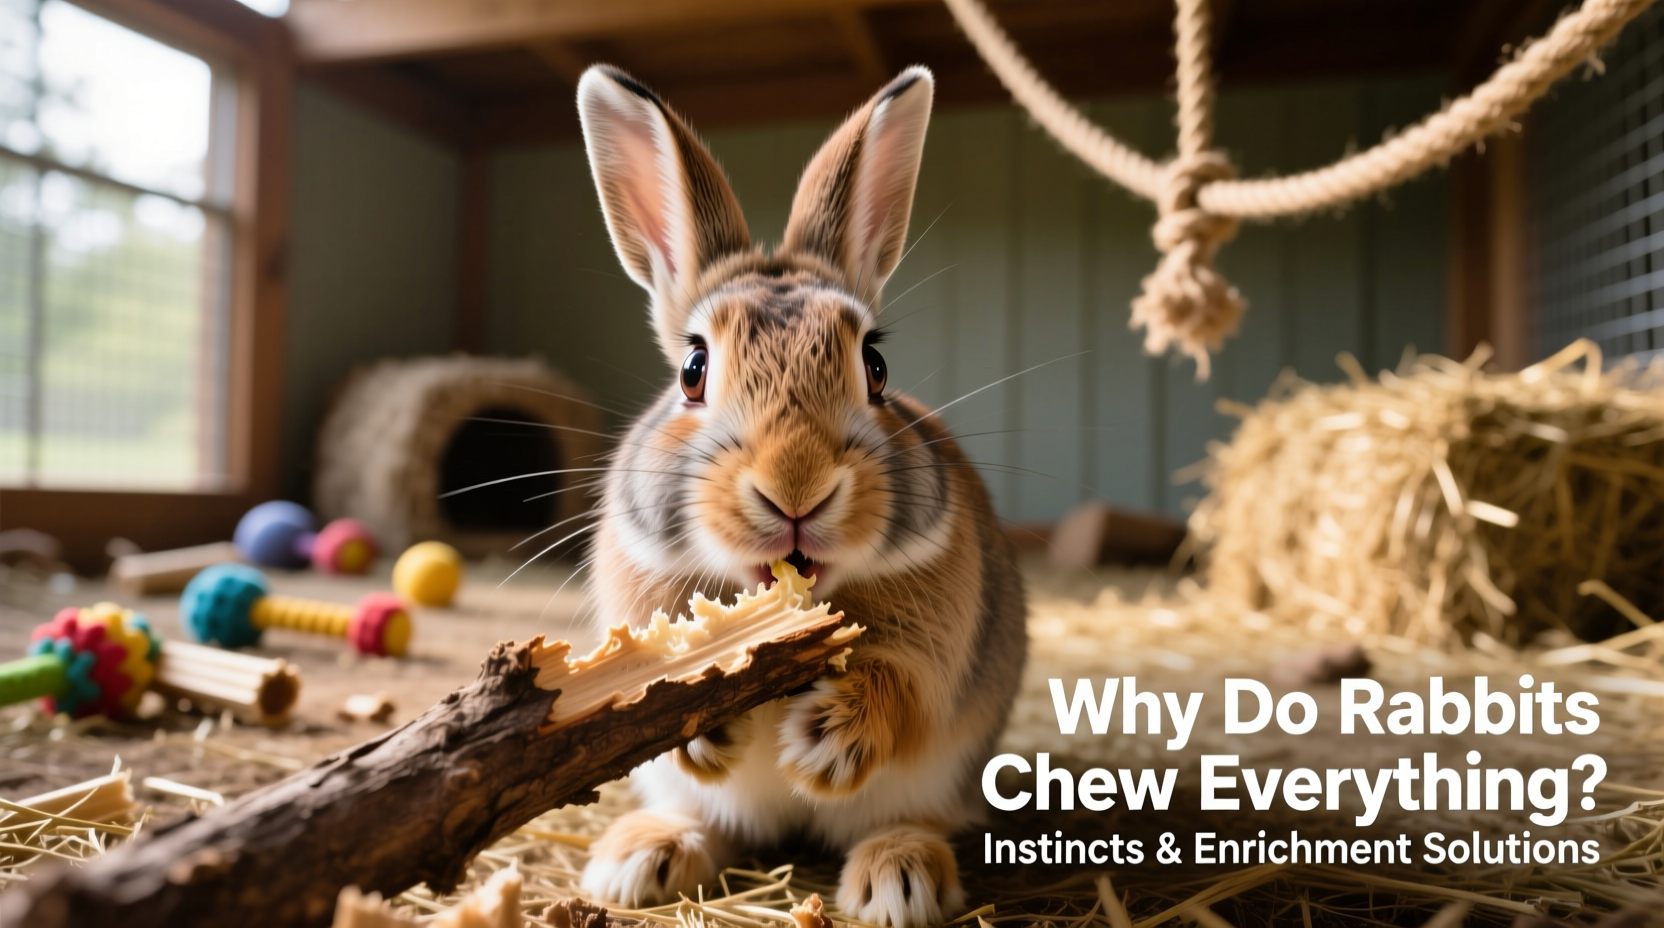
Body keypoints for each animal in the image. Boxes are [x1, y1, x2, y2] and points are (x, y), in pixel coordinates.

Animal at [574, 63, 1028, 928]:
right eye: (693, 370)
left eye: (875, 367)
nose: (796, 486)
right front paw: (706, 724)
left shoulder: (933, 650)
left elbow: (904, 690)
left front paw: (824, 739)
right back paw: (639, 860)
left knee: (913, 819)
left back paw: (898, 879)